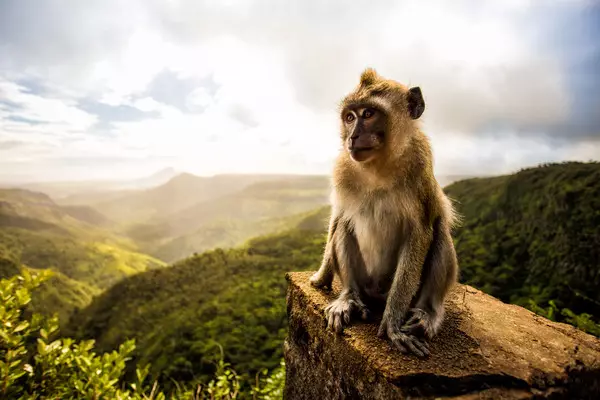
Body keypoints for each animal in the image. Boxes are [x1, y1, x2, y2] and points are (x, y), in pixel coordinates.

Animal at [310, 67, 460, 358]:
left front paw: (392, 324)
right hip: (365, 283)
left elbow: (421, 231)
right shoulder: (342, 168)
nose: (352, 136)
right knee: (344, 226)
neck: (377, 166)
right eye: (349, 117)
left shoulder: (420, 165)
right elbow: (338, 216)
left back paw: (428, 313)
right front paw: (322, 276)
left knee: (439, 233)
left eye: (368, 114)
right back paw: (348, 297)